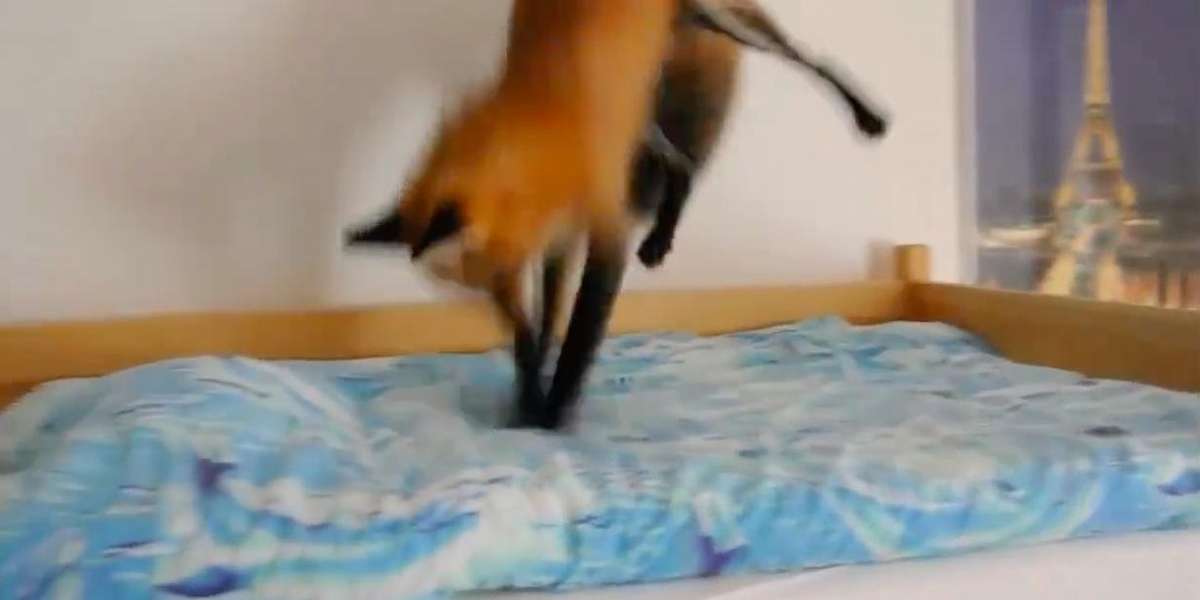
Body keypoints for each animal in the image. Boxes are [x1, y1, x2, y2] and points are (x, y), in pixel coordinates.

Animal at [346, 0, 888, 431]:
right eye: (482, 294)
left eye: (500, 277)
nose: (503, 312)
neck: (546, 115)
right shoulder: (557, 243)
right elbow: (545, 329)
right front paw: (529, 393)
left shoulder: (606, 235)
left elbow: (577, 340)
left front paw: (552, 417)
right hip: (644, 106)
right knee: (681, 166)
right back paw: (661, 237)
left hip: (721, 24)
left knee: (806, 57)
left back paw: (867, 115)